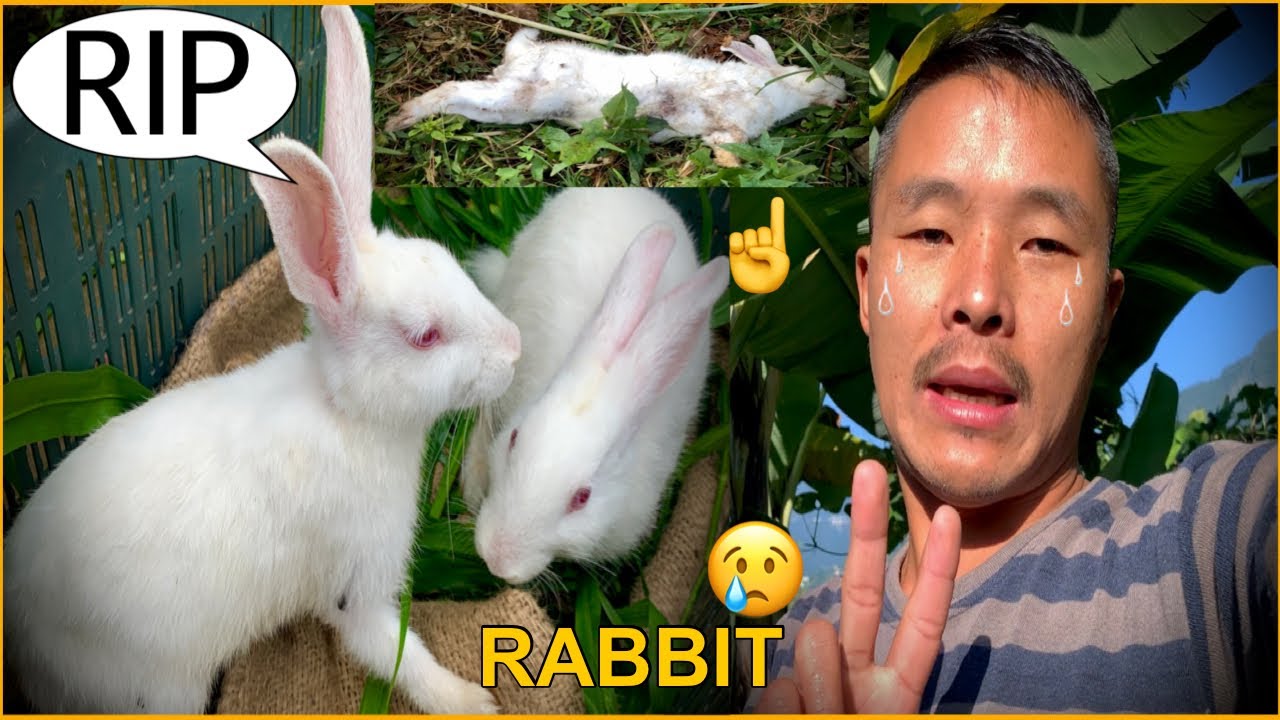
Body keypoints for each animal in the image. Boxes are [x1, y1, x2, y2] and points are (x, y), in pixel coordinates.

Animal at [2, 6, 515, 715]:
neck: (345, 411)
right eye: (425, 337)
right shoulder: (357, 581)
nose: (516, 348)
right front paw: (472, 698)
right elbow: (389, 648)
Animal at [384, 28, 846, 167]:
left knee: (457, 100)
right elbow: (728, 143)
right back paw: (395, 119)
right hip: (521, 91)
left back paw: (401, 121)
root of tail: (519, 53)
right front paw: (727, 167)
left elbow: (722, 142)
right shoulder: (728, 107)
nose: (843, 87)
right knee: (451, 89)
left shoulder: (727, 127)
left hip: (511, 108)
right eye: (809, 72)